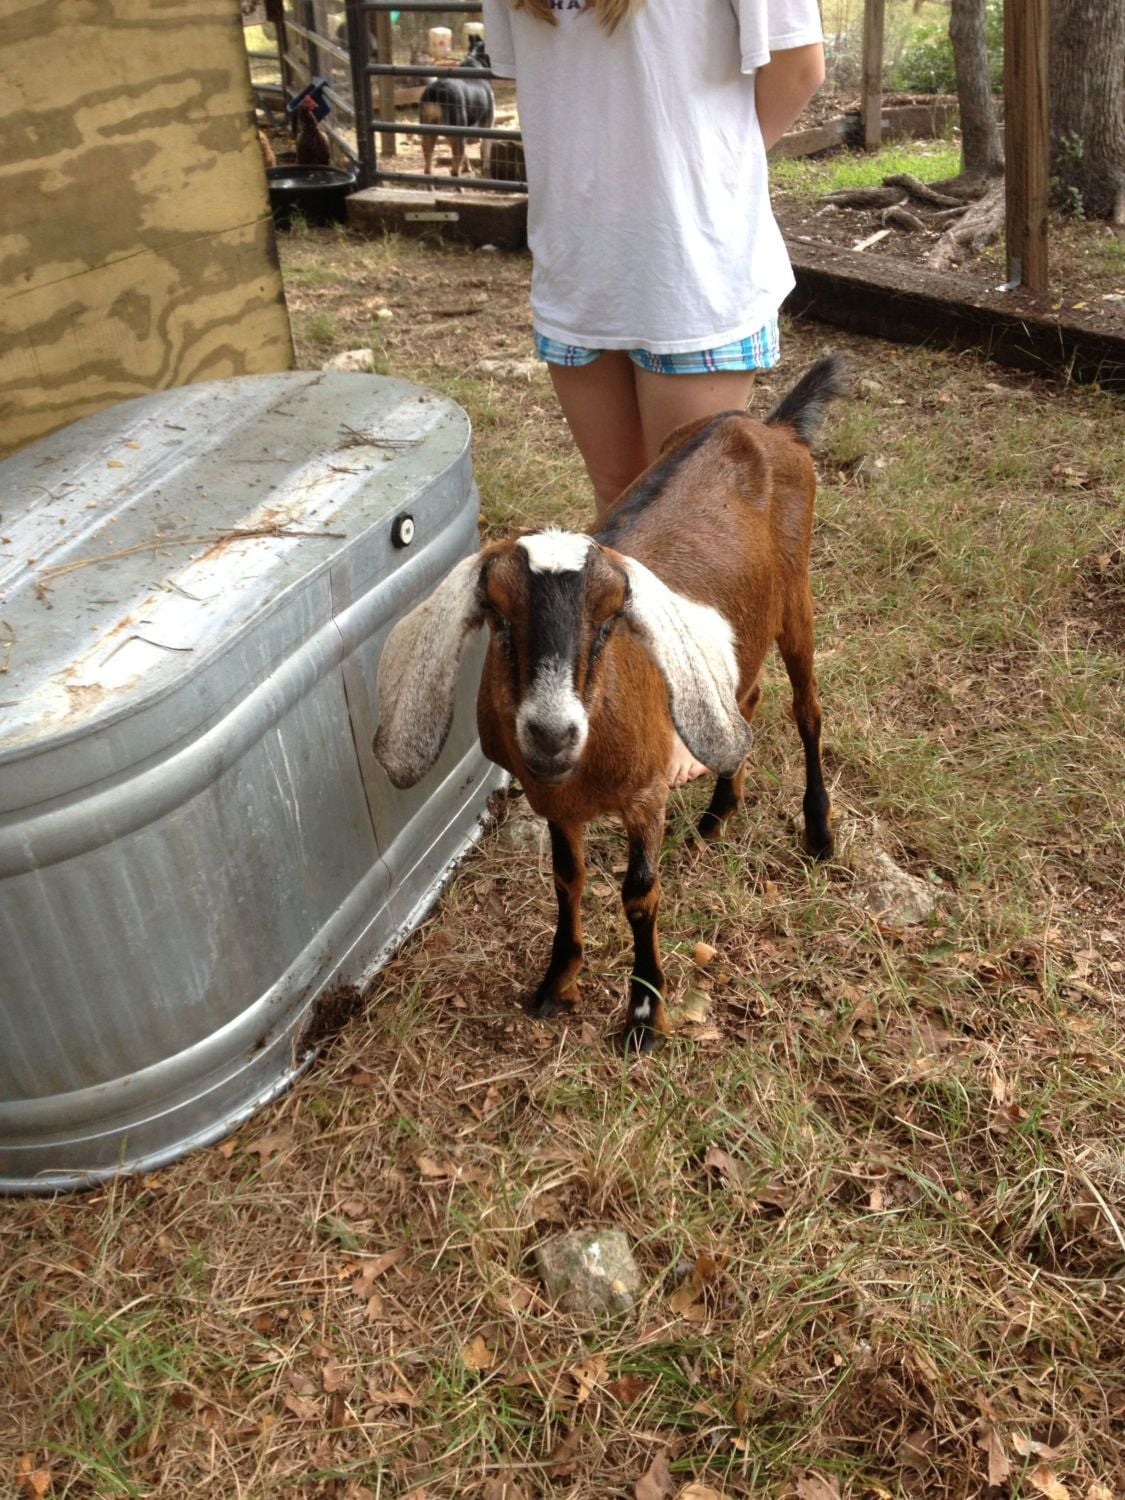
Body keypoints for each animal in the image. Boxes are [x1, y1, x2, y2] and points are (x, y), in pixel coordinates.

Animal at [373, 356, 845, 1052]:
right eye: (500, 620)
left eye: (607, 623)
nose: (551, 733)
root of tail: (767, 425)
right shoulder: (554, 803)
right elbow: (567, 879)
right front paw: (556, 981)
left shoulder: (646, 793)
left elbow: (638, 893)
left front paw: (645, 1012)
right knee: (747, 698)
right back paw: (717, 815)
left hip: (797, 598)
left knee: (806, 711)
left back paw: (818, 831)